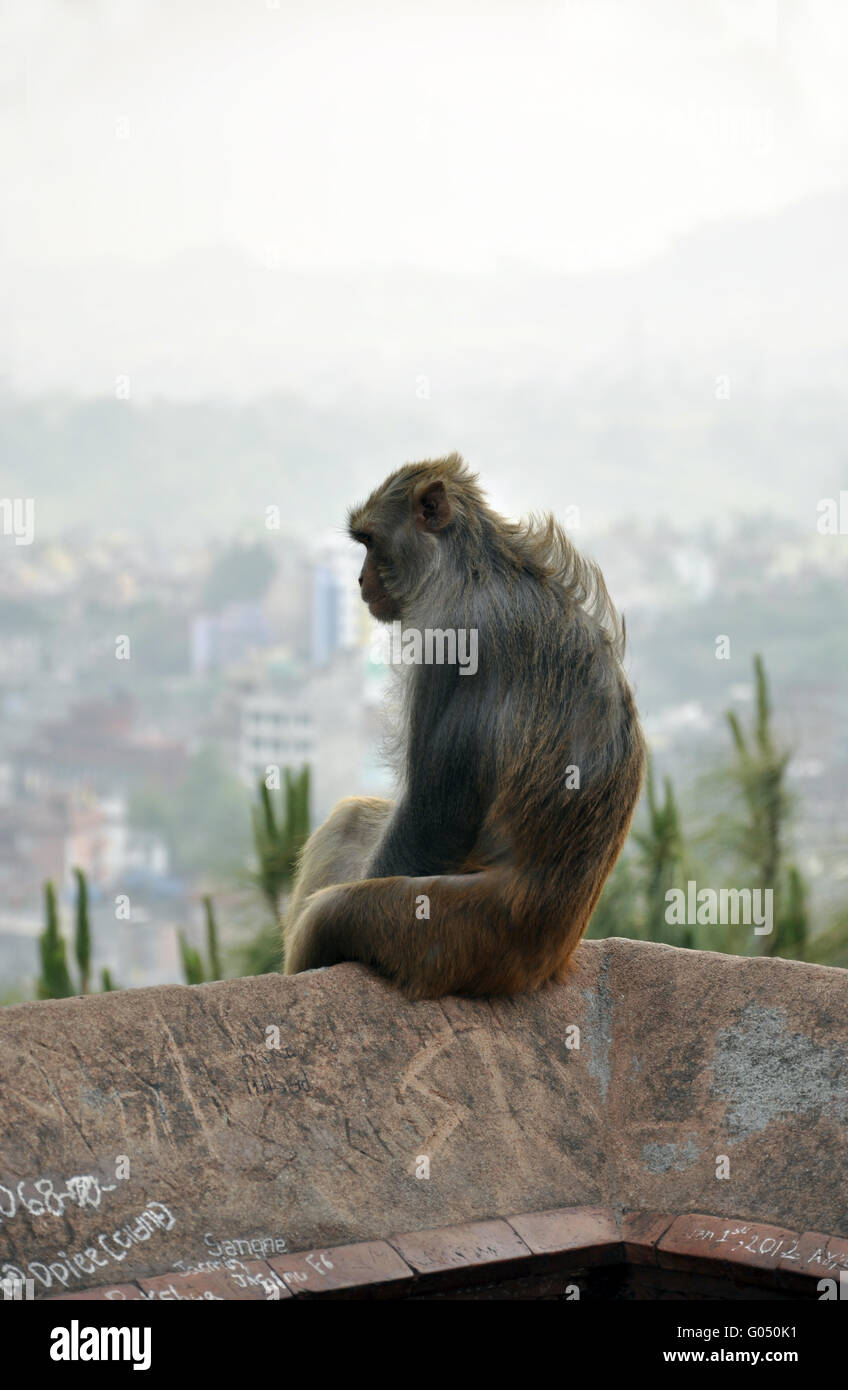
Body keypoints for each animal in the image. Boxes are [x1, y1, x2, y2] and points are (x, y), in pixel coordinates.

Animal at [284, 453, 645, 1000]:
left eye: (369, 543)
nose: (360, 582)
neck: (472, 566)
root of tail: (549, 958)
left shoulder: (455, 639)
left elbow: (436, 818)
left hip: (461, 934)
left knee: (334, 911)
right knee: (351, 819)